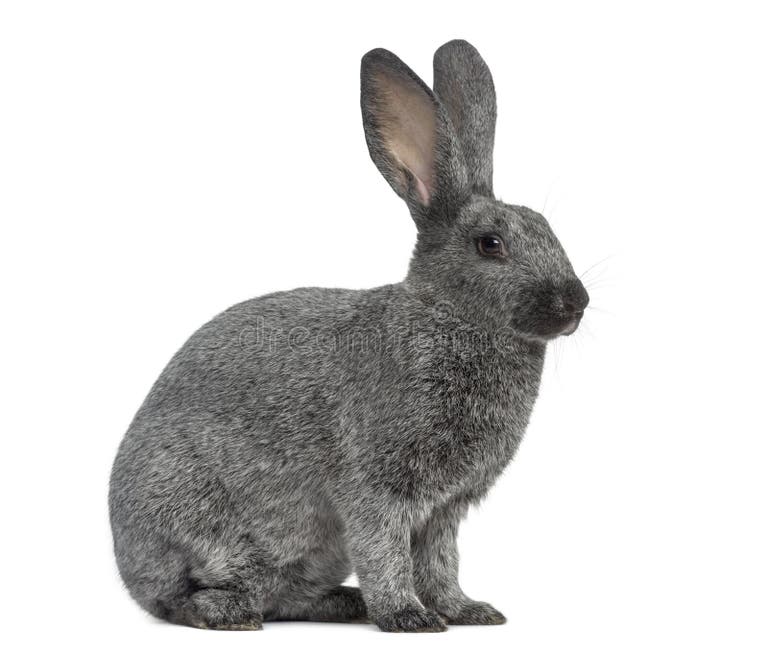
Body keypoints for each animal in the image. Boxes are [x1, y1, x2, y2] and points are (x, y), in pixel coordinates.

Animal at [109, 39, 589, 633]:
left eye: (547, 229)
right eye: (490, 244)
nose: (575, 303)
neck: (449, 316)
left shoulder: (444, 510)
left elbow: (441, 562)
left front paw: (467, 611)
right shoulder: (378, 490)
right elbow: (386, 554)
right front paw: (409, 617)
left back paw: (344, 604)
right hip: (192, 513)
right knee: (180, 598)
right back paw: (230, 614)